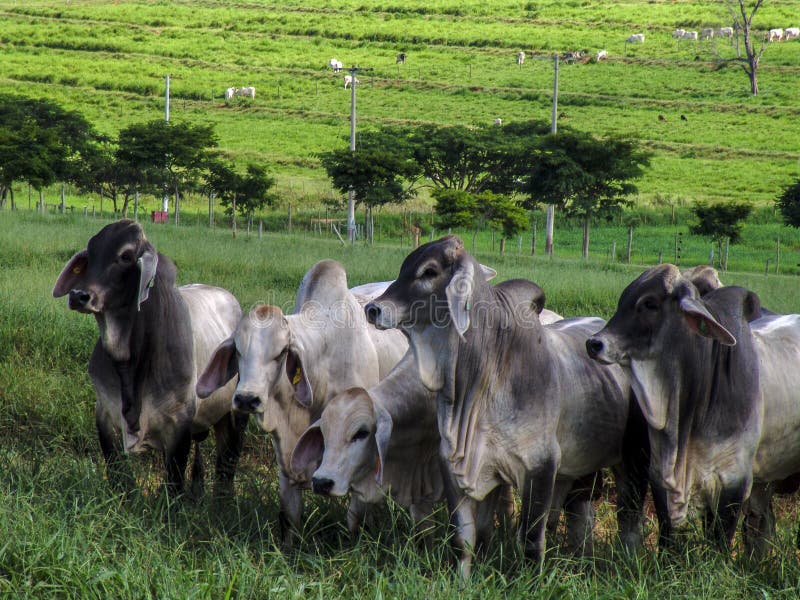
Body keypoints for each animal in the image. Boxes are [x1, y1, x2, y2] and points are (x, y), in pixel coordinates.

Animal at [53, 220, 246, 498]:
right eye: (91, 253)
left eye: (125, 256)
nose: (78, 295)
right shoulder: (104, 414)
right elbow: (118, 474)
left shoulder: (179, 424)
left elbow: (174, 482)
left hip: (233, 418)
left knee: (226, 466)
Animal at [196, 260, 408, 544]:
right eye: (238, 351)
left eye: (281, 353)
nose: (247, 399)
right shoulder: (286, 461)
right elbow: (289, 518)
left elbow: (354, 521)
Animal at [364, 236, 652, 577]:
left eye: (429, 271)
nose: (372, 309)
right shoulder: (461, 465)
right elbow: (465, 538)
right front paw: (462, 579)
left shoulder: (541, 467)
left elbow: (529, 539)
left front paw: (533, 580)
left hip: (632, 458)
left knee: (627, 515)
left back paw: (627, 558)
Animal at [586, 264, 800, 553]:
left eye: (650, 304)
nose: (594, 344)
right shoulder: (659, 473)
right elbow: (667, 532)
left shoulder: (734, 480)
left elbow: (720, 539)